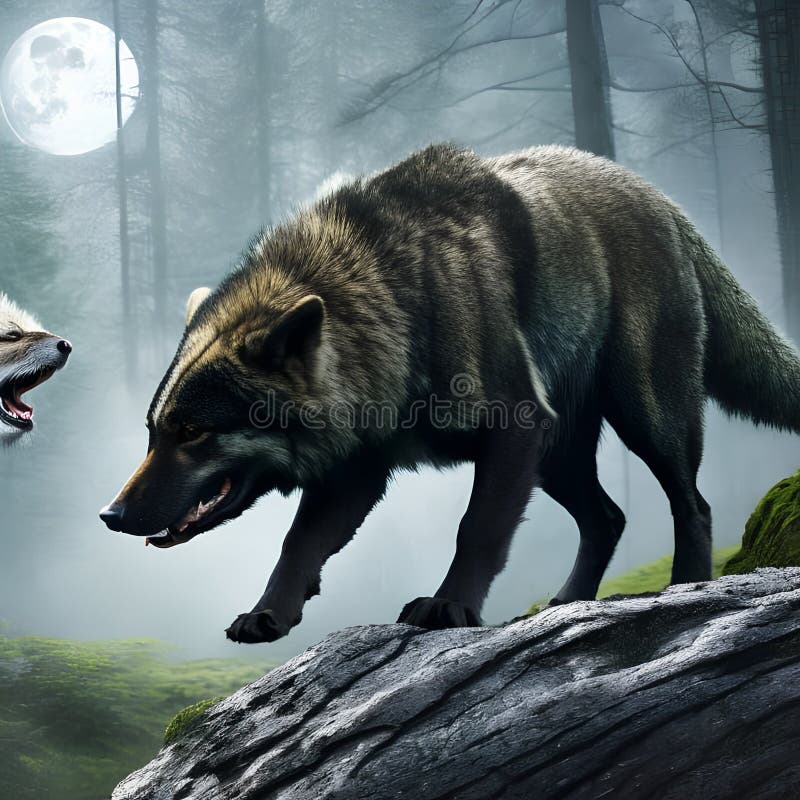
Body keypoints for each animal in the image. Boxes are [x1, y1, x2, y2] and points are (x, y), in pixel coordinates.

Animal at [100, 144, 800, 644]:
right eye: (152, 432)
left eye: (193, 432)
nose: (110, 516)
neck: (393, 305)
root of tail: (661, 199)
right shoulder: (356, 472)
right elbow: (297, 544)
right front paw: (269, 614)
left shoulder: (514, 429)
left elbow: (476, 528)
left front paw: (450, 605)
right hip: (557, 456)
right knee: (608, 517)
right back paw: (565, 606)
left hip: (644, 417)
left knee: (692, 505)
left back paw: (686, 589)